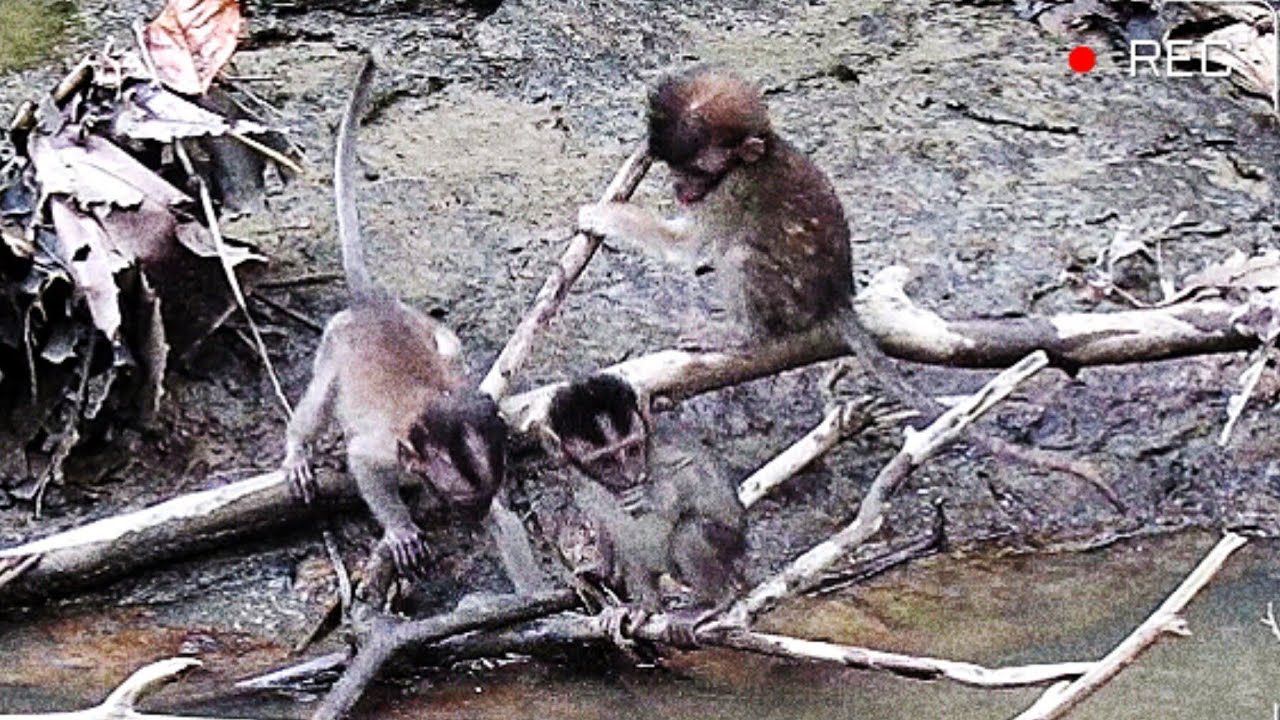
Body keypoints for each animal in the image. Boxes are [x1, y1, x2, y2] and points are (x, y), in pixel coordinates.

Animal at [280, 55, 507, 579]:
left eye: (488, 496)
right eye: (462, 500)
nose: (478, 518)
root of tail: (374, 304)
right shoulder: (383, 448)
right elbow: (364, 465)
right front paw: (401, 529)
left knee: (448, 346)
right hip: (334, 344)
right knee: (320, 399)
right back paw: (298, 450)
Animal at [543, 374, 747, 647]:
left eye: (632, 450)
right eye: (605, 462)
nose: (630, 477)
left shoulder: (664, 450)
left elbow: (702, 479)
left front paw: (656, 495)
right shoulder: (577, 477)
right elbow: (602, 523)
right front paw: (599, 565)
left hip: (732, 544)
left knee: (688, 532)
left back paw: (716, 601)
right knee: (626, 538)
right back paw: (644, 606)